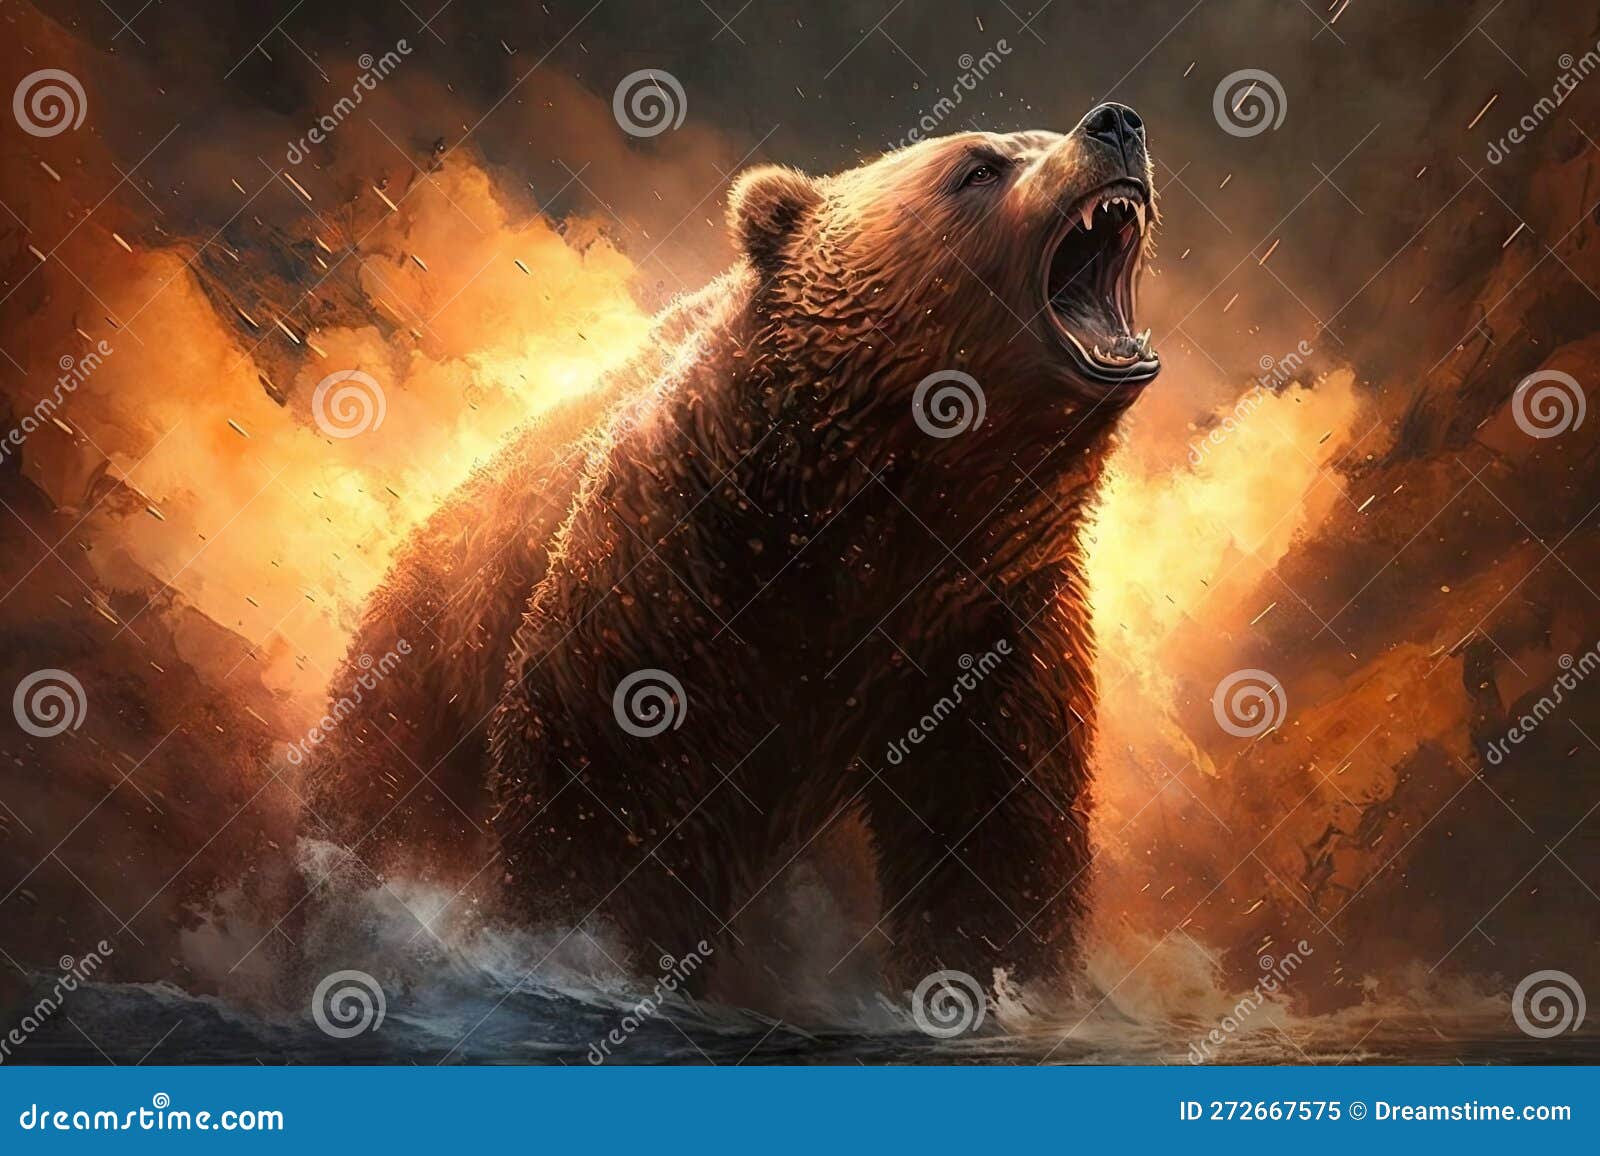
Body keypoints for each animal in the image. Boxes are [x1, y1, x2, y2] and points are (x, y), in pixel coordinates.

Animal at [302, 101, 1161, 996]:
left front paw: (994, 978)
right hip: (418, 684)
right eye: (980, 166)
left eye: (1034, 139)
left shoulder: (990, 619)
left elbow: (997, 828)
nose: (1115, 124)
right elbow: (610, 798)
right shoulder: (677, 568)